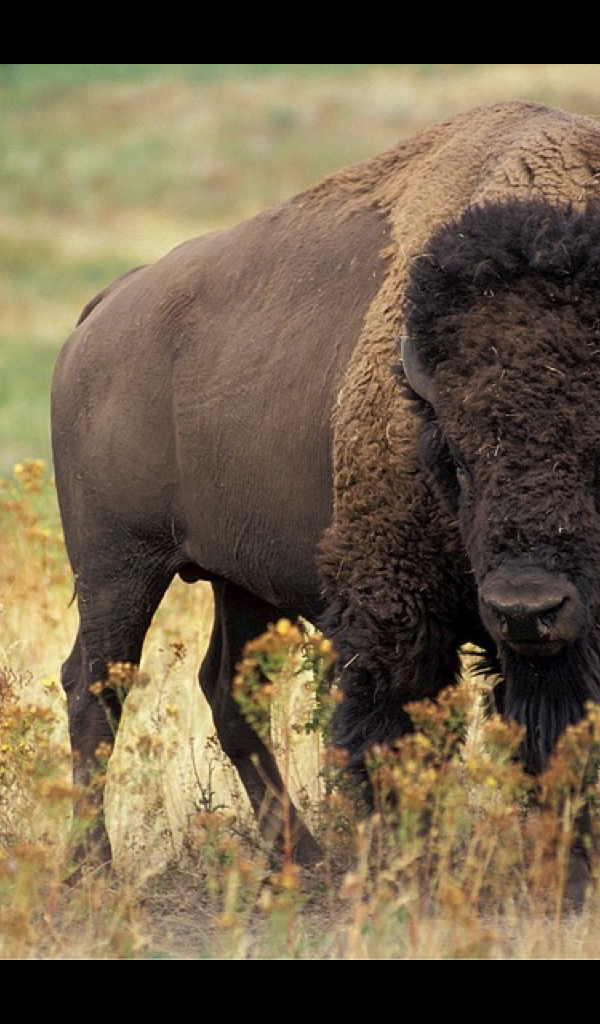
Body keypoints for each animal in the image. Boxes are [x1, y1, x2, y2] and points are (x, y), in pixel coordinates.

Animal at [52, 100, 600, 868]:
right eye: (456, 459)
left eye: (597, 451)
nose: (527, 607)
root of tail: (104, 309)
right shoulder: (394, 608)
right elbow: (393, 733)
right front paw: (403, 859)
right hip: (117, 567)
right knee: (95, 687)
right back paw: (93, 867)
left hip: (239, 580)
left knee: (226, 689)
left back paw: (301, 858)